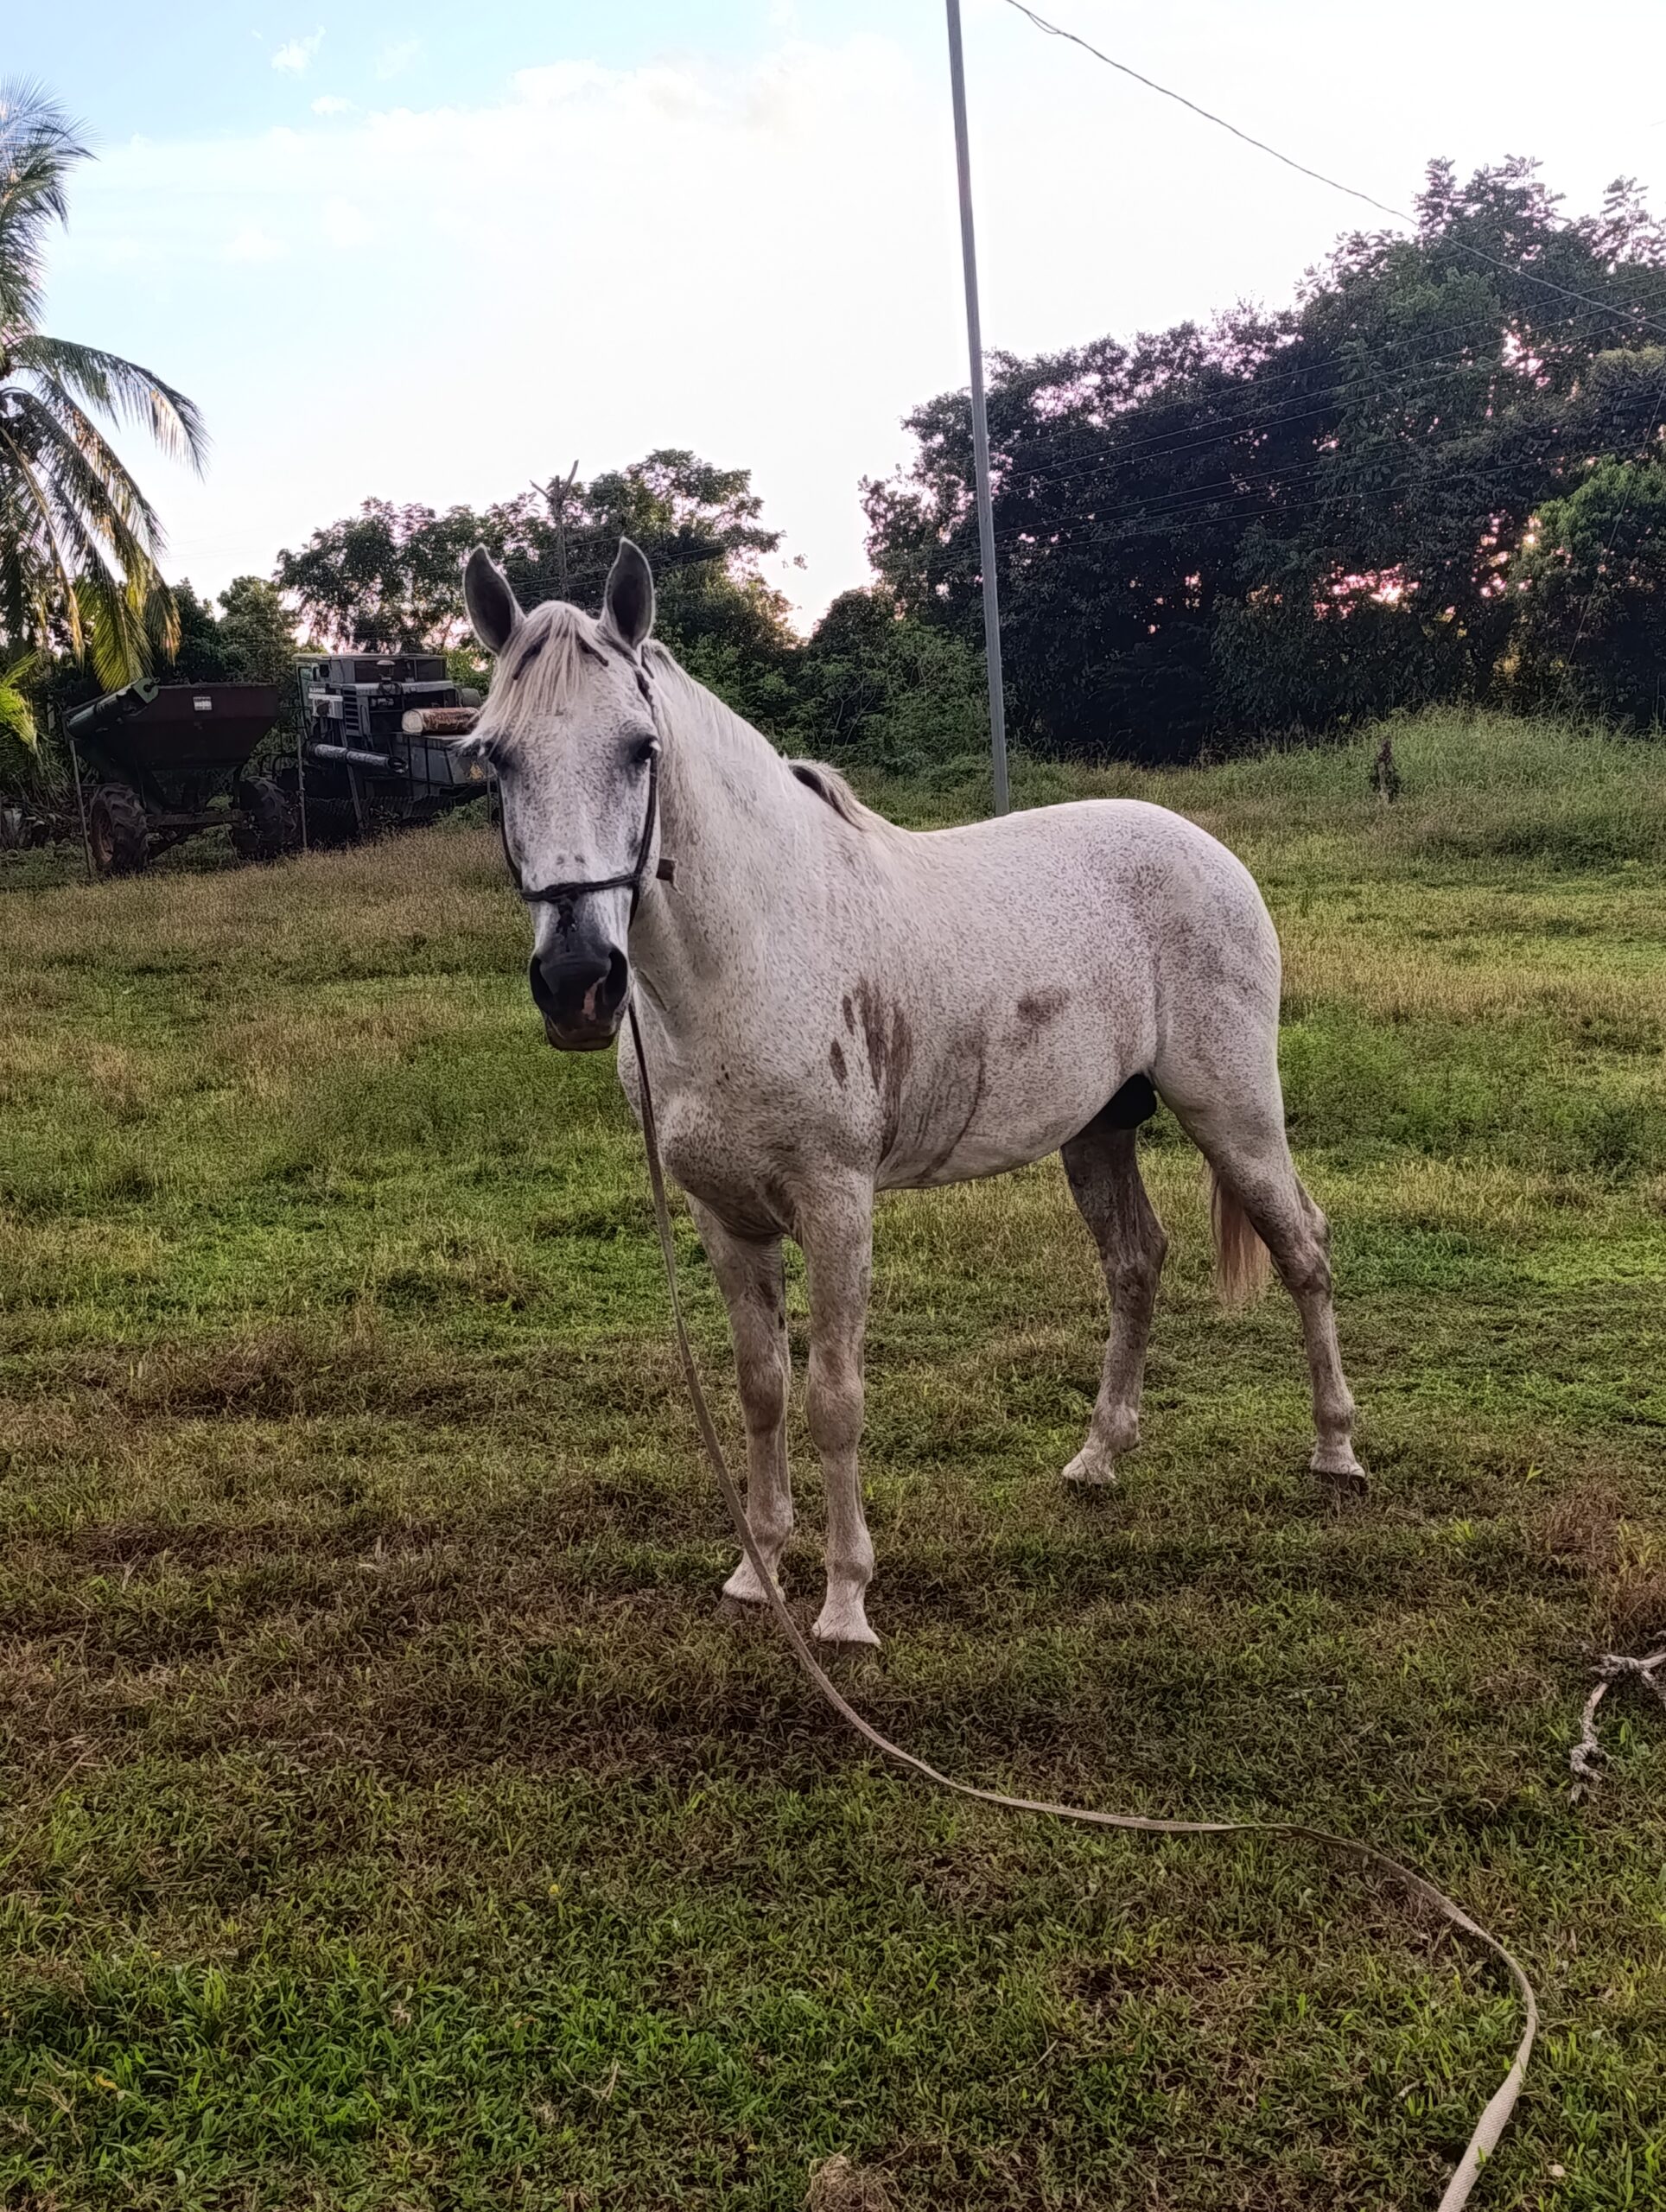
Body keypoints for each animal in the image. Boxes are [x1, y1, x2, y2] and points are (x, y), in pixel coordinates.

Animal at [459, 536, 1363, 1648]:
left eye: (640, 749)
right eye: (494, 758)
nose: (579, 981)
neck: (749, 956)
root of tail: (1205, 849)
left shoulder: (836, 1205)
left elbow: (833, 1397)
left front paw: (844, 1605)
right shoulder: (723, 1214)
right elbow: (760, 1388)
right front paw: (756, 1571)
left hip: (1230, 1111)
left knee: (1302, 1249)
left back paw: (1334, 1452)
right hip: (1096, 1129)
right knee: (1134, 1264)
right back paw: (1097, 1457)